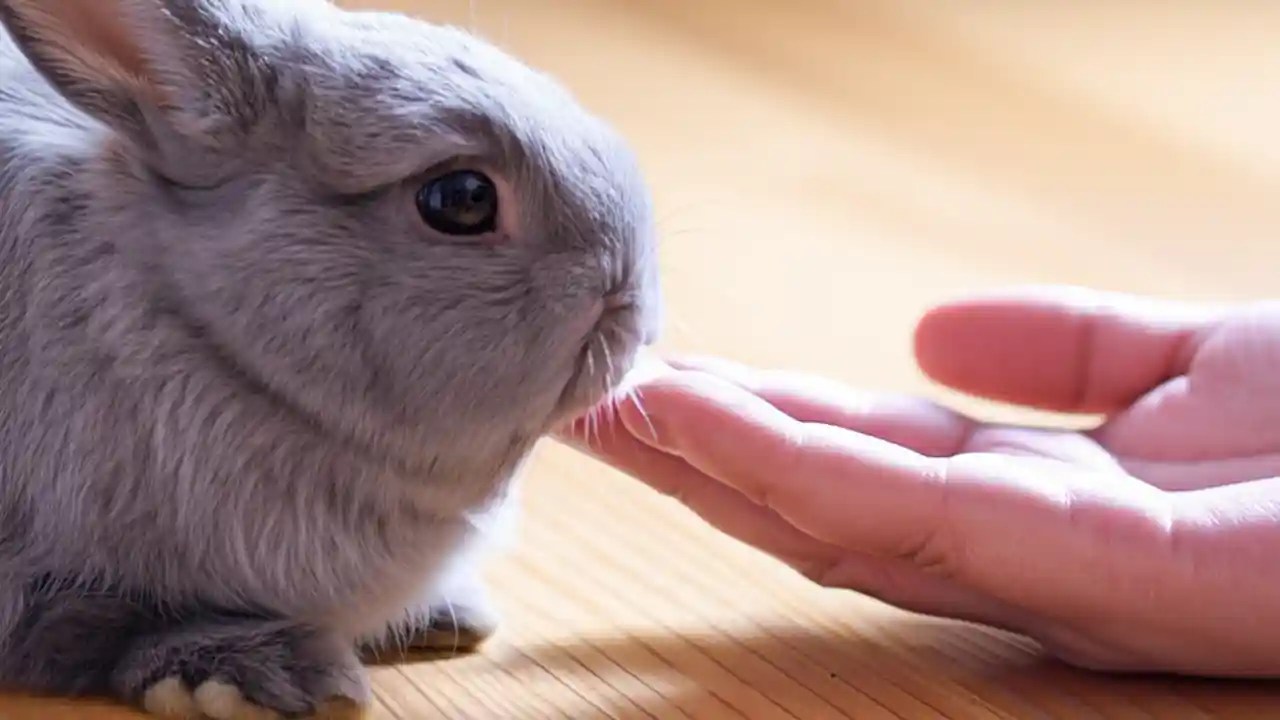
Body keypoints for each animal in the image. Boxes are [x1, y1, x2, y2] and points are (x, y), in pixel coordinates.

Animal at [0, 0, 660, 717]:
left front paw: (447, 613)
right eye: (462, 199)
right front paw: (269, 676)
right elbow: (93, 622)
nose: (637, 308)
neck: (208, 338)